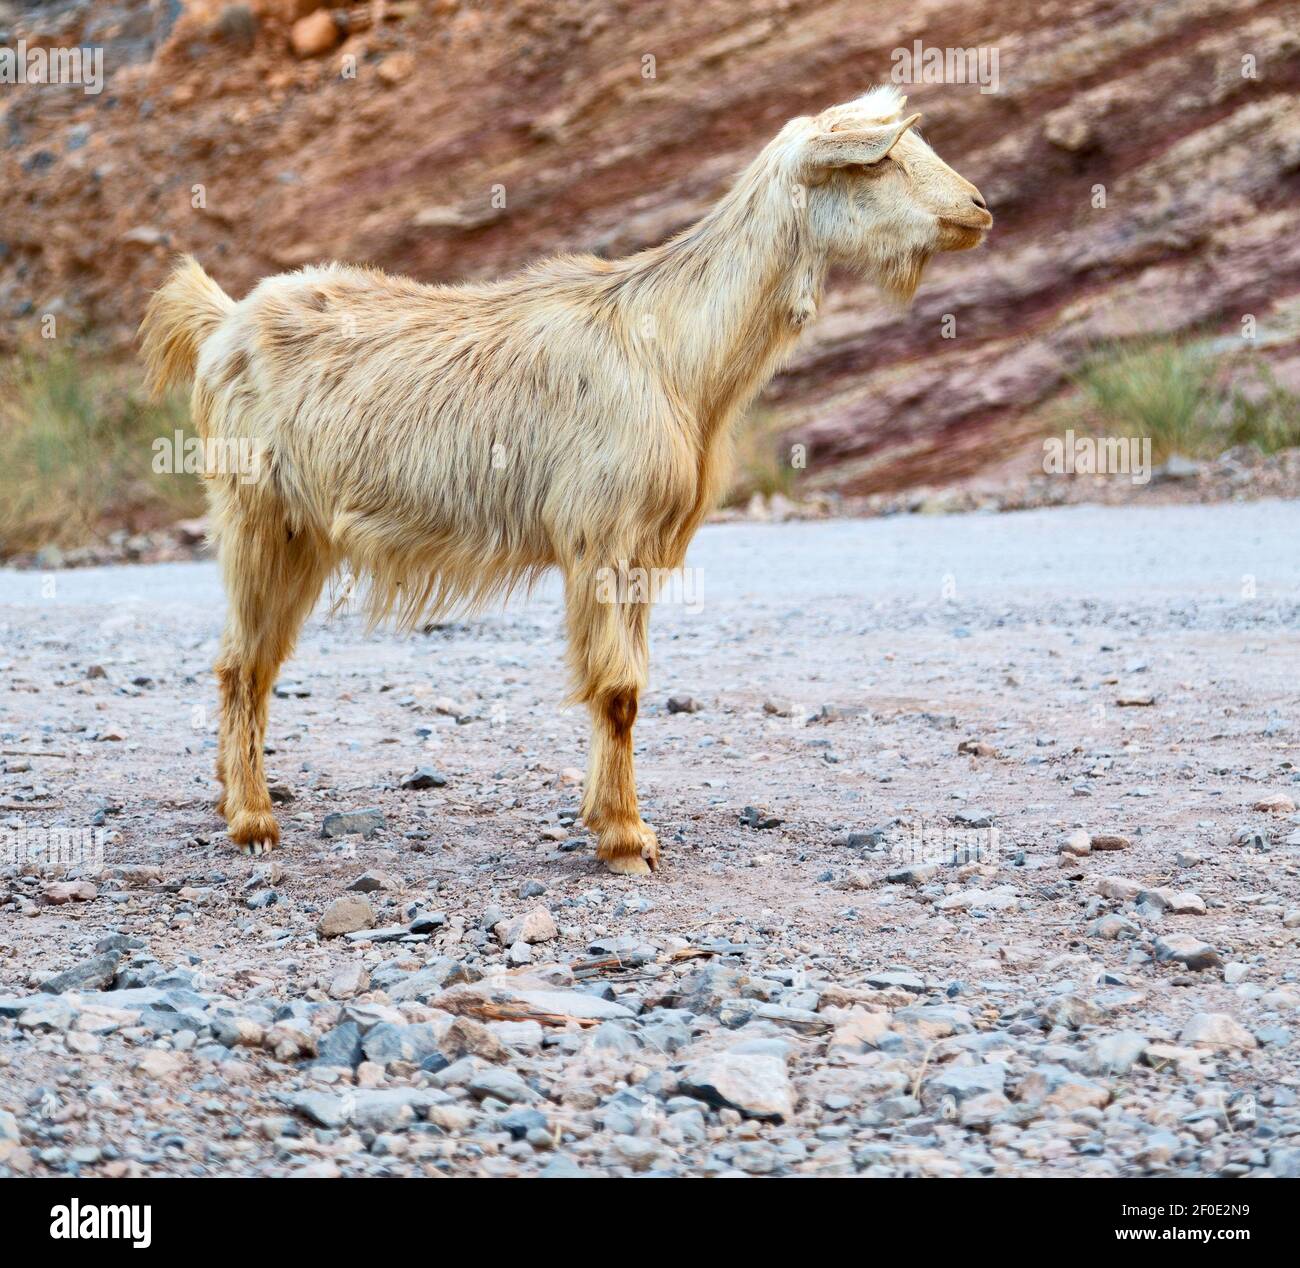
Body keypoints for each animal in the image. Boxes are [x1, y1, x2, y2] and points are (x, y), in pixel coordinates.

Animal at [139, 85, 991, 875]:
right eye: (880, 160)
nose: (979, 209)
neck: (672, 348)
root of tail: (223, 323)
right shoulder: (602, 536)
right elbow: (616, 690)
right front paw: (625, 839)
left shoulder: (645, 548)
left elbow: (632, 686)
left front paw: (614, 822)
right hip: (256, 513)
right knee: (242, 662)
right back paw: (252, 821)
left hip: (299, 534)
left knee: (254, 660)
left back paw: (232, 793)